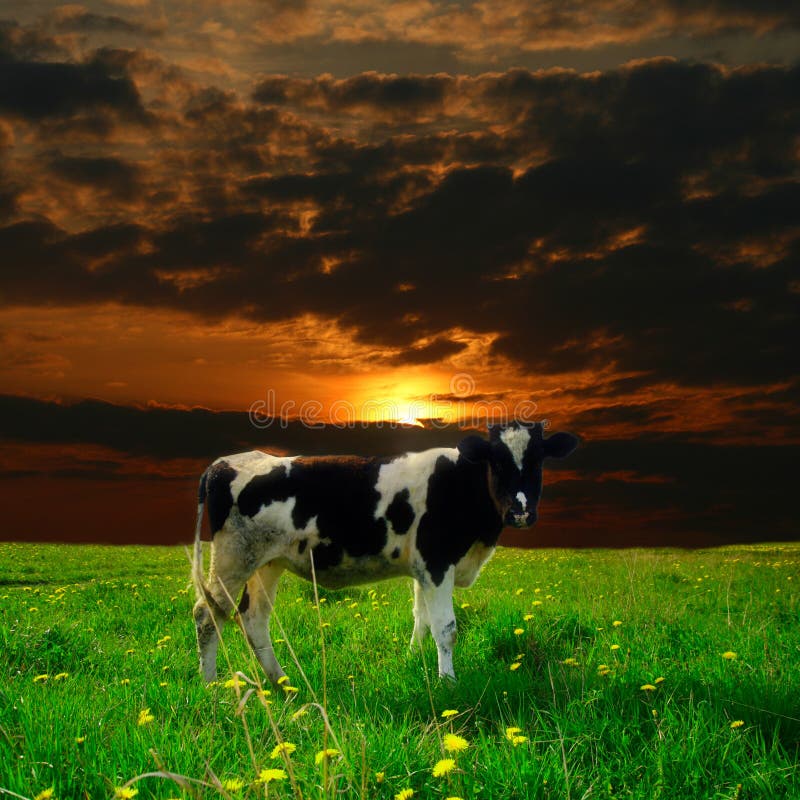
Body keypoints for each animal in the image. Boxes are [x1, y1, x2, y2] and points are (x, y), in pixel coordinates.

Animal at [191, 421, 578, 683]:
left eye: (538, 461)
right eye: (496, 462)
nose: (521, 512)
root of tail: (224, 462)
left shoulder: (423, 569)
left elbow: (421, 620)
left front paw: (413, 661)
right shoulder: (438, 562)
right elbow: (446, 628)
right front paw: (448, 683)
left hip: (267, 563)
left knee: (254, 619)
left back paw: (282, 682)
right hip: (231, 558)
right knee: (207, 615)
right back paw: (212, 685)